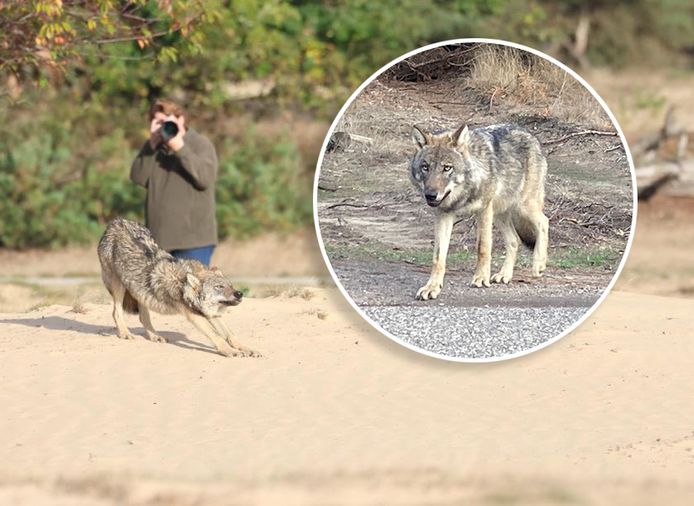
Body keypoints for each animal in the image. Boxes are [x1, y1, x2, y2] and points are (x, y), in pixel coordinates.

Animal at [97, 218, 258, 357]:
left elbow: (230, 334)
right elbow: (216, 336)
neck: (183, 285)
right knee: (116, 312)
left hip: (140, 291)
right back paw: (125, 333)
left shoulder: (211, 314)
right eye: (219, 286)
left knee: (143, 317)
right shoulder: (194, 315)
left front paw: (247, 349)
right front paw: (230, 351)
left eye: (230, 286)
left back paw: (155, 336)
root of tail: (116, 221)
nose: (240, 294)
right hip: (119, 285)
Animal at [409, 123, 549, 300]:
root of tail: (530, 135)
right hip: (500, 214)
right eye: (425, 167)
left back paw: (538, 265)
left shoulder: (483, 209)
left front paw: (481, 278)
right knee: (514, 240)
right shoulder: (444, 214)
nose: (430, 195)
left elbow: (482, 247)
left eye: (447, 168)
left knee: (544, 222)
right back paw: (504, 275)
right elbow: (438, 257)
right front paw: (432, 287)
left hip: (523, 207)